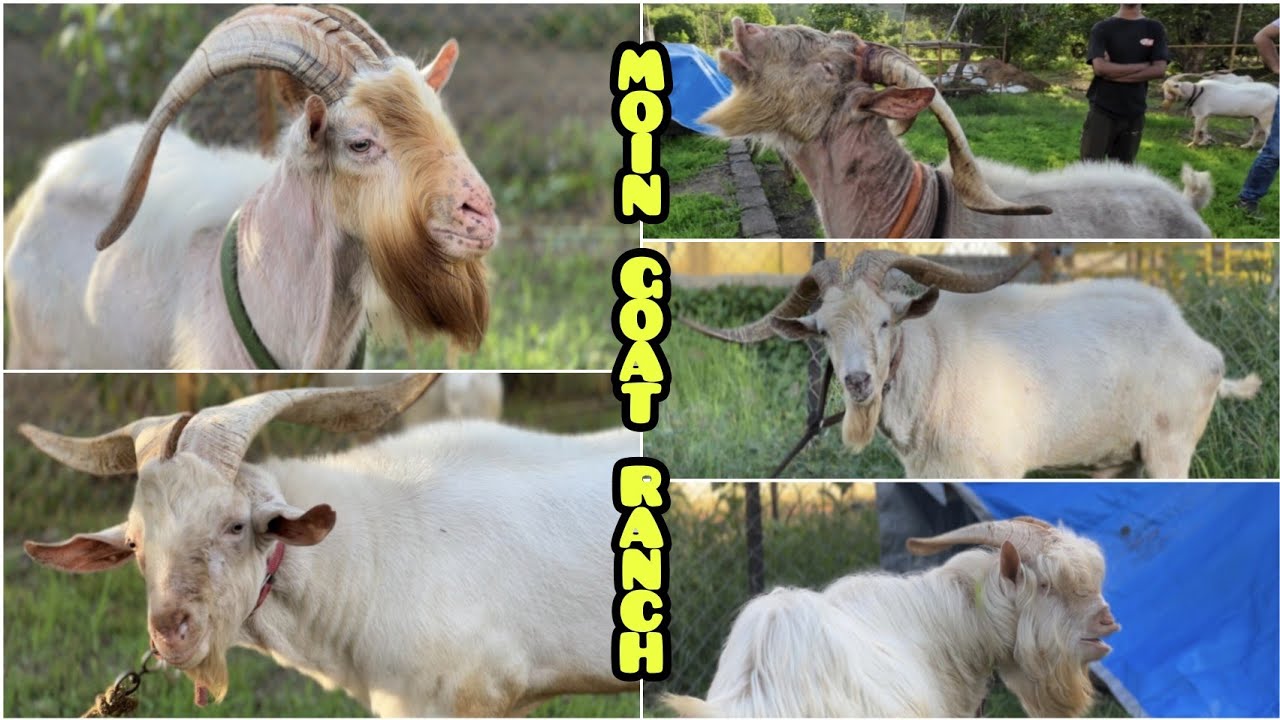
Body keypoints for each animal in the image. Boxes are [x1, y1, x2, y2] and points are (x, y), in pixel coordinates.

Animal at [683, 250, 1261, 478]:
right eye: (823, 330)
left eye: (886, 322)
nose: (857, 381)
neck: (935, 366)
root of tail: (1202, 350)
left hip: (1170, 447)